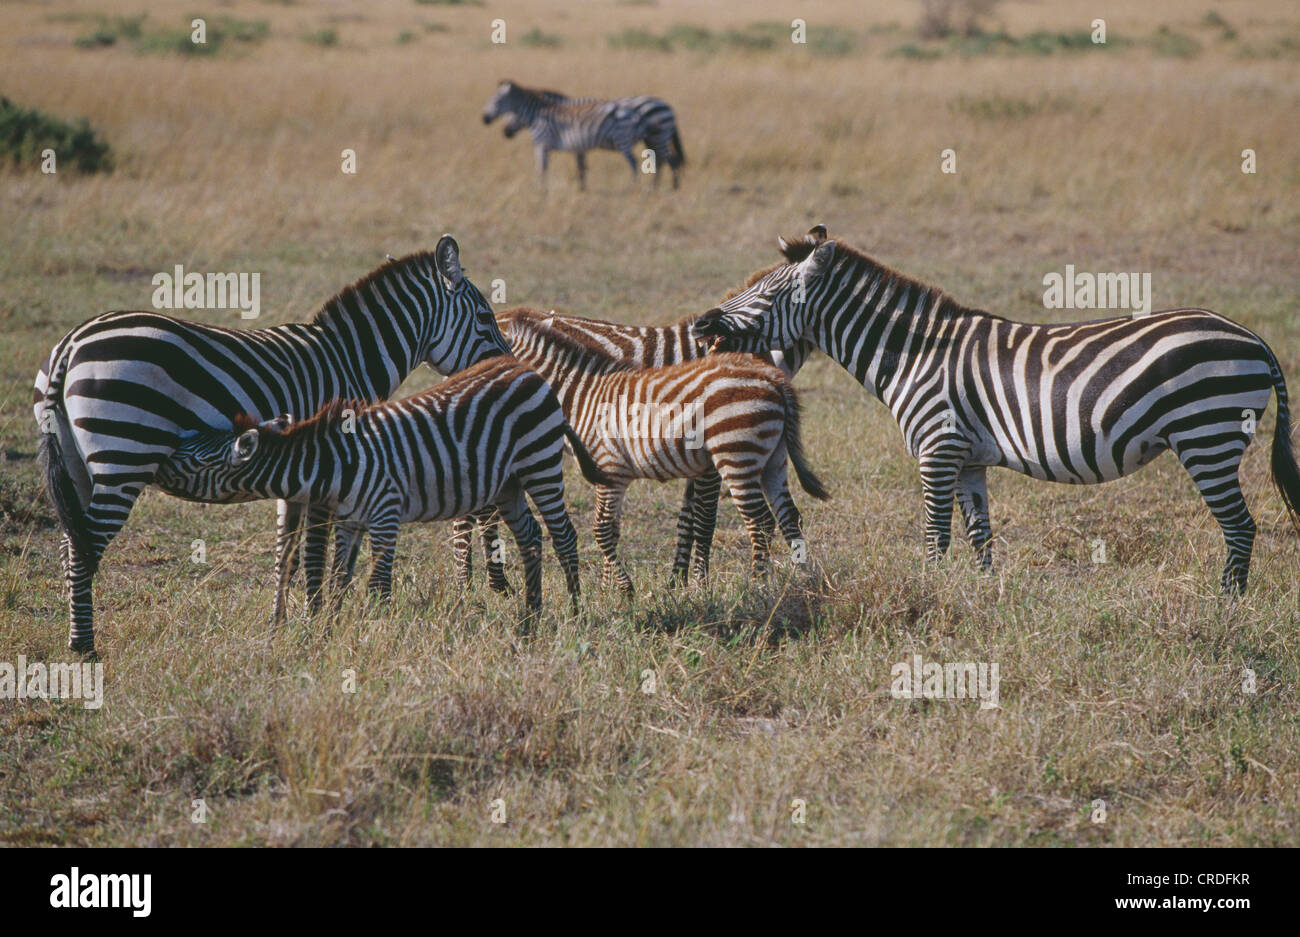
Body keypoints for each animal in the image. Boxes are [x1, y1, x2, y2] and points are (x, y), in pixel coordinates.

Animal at [33, 236, 512, 654]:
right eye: (485, 318)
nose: (509, 369)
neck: (350, 359)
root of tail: (72, 343)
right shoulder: (331, 466)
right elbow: (315, 555)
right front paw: (317, 624)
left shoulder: (298, 474)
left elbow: (288, 555)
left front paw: (279, 627)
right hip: (123, 455)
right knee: (85, 549)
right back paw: (85, 648)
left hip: (79, 467)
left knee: (69, 546)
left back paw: (75, 637)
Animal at [161, 357, 610, 614]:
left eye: (197, 461)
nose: (158, 462)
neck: (335, 464)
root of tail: (530, 373)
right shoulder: (350, 520)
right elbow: (339, 577)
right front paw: (330, 629)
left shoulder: (385, 514)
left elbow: (378, 584)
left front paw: (379, 631)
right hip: (509, 484)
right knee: (531, 537)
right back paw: (530, 618)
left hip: (541, 465)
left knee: (563, 535)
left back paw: (575, 611)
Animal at [452, 307, 817, 591]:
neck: (582, 393)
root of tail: (774, 380)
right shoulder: (614, 475)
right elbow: (611, 529)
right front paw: (611, 587)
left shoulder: (608, 468)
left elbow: (601, 530)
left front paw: (624, 588)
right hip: (772, 459)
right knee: (787, 516)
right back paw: (800, 581)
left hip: (736, 456)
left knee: (761, 521)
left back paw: (758, 583)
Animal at [482, 80, 685, 189]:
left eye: (512, 114)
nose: (506, 132)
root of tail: (667, 106)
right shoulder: (578, 143)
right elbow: (581, 166)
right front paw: (582, 188)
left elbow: (575, 167)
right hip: (652, 139)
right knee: (661, 161)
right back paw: (655, 187)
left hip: (657, 137)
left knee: (667, 160)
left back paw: (668, 188)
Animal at [692, 225, 1300, 593]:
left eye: (764, 296)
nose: (700, 324)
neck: (916, 354)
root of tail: (1253, 338)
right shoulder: (968, 460)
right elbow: (979, 537)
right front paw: (984, 600)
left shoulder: (937, 449)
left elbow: (935, 535)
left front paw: (929, 595)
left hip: (1207, 435)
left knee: (1240, 526)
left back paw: (1226, 605)